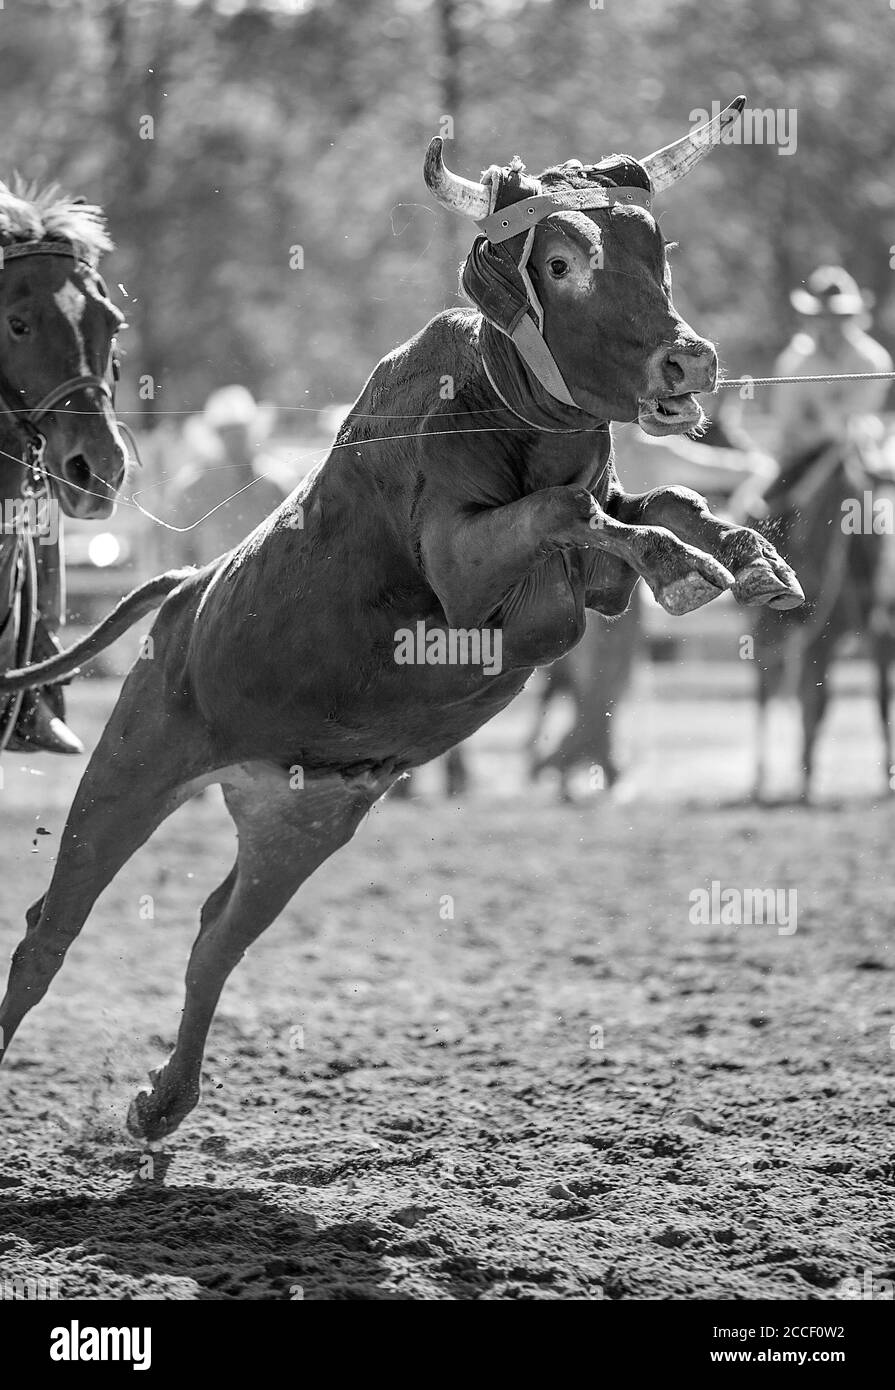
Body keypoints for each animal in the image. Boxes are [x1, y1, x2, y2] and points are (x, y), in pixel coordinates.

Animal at [0, 99, 803, 1141]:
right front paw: (682, 567)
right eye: (559, 262)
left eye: (652, 245)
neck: (497, 405)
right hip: (131, 768)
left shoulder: (591, 574)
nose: (689, 360)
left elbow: (658, 502)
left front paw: (751, 559)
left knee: (216, 937)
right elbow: (569, 513)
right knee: (48, 934)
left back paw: (162, 1102)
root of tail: (182, 592)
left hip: (304, 820)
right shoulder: (468, 584)